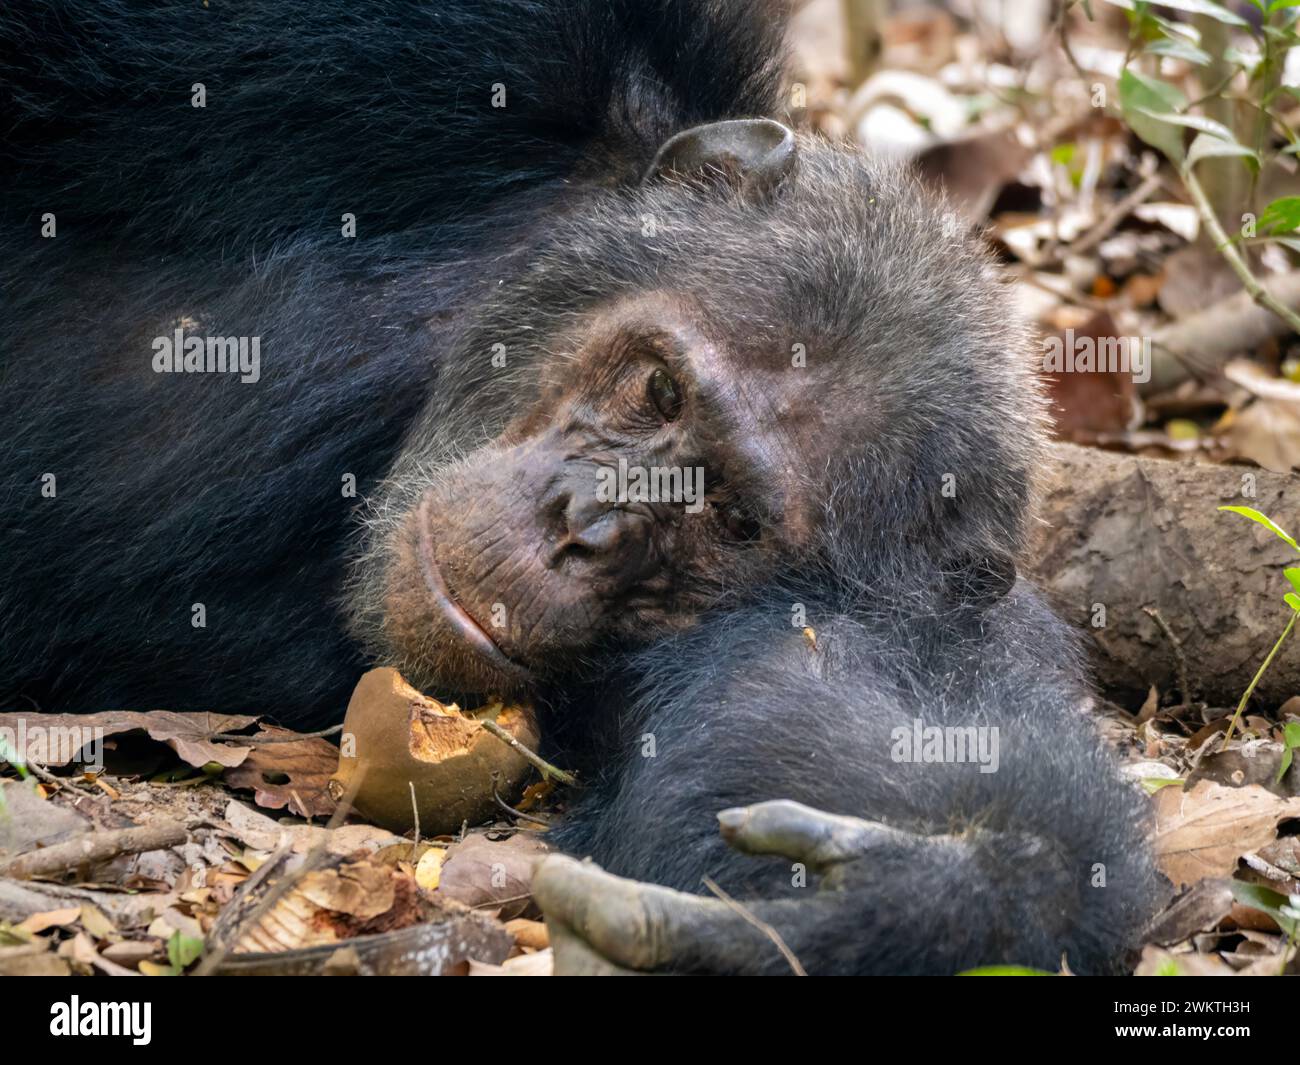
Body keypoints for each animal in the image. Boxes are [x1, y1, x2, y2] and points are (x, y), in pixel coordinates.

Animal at [0, 0, 1165, 973]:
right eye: (658, 389)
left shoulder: (912, 632)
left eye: (730, 519)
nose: (585, 525)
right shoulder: (483, 49)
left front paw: (919, 892)